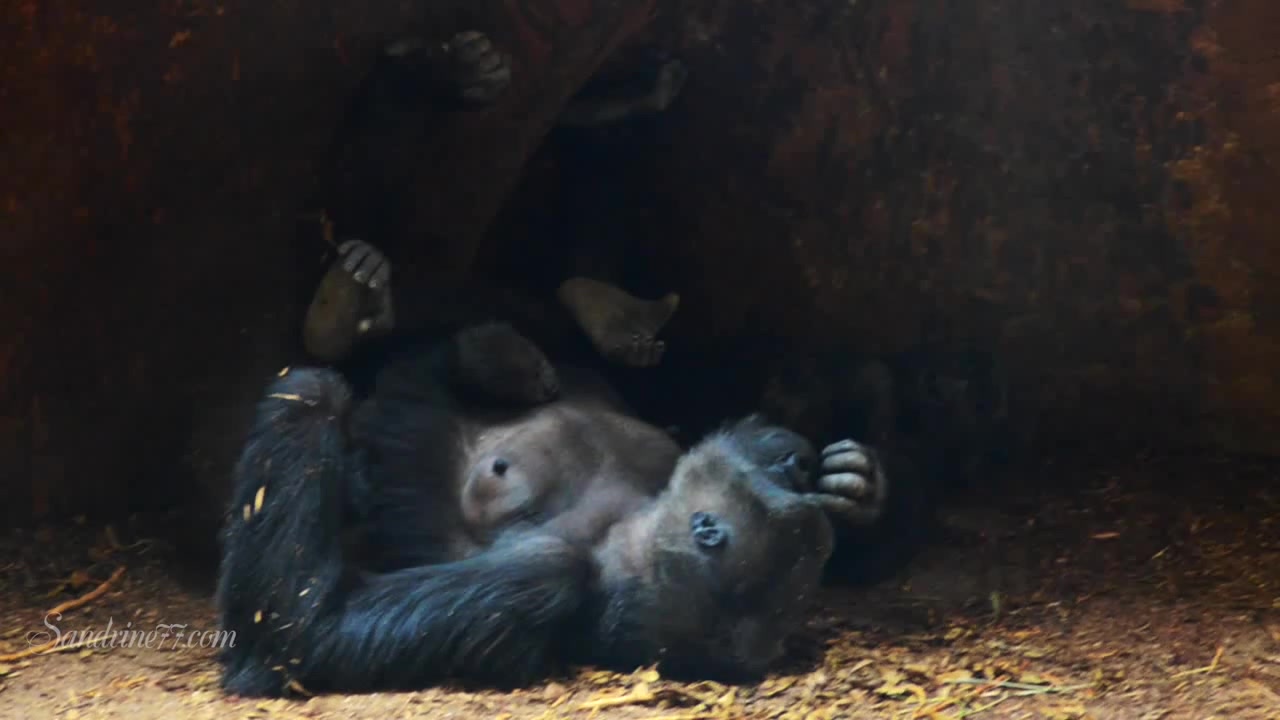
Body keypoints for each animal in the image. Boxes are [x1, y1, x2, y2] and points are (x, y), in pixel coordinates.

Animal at [216, 244, 895, 697]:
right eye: (786, 477)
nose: (794, 460)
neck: (628, 527)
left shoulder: (538, 576)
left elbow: (300, 634)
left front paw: (310, 399)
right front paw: (857, 485)